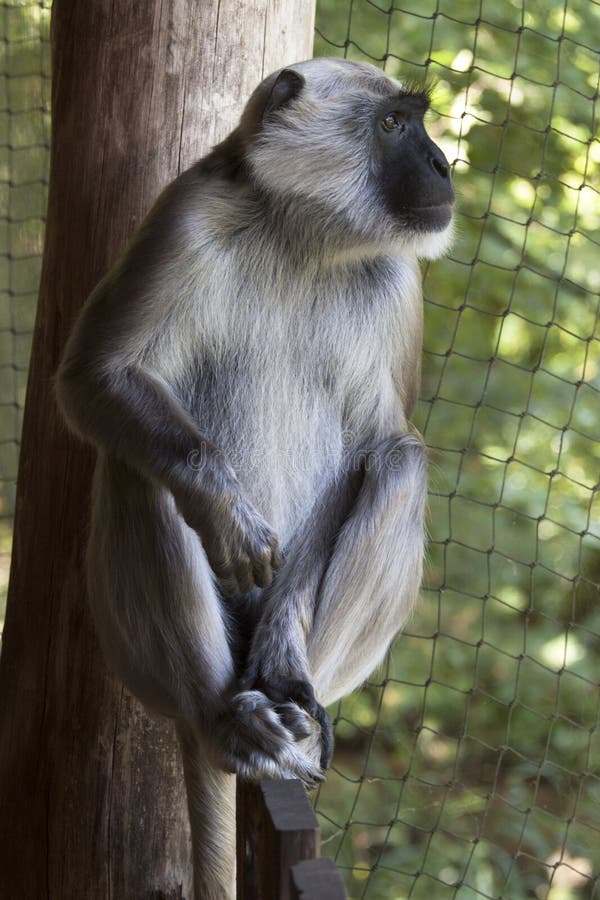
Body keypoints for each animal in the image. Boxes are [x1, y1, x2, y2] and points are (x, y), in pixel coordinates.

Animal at [56, 58, 454, 899]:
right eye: (394, 125)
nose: (442, 165)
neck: (306, 239)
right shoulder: (186, 214)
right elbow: (95, 378)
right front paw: (224, 508)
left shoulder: (398, 280)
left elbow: (373, 447)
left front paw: (287, 660)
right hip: (135, 652)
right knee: (144, 469)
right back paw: (222, 720)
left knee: (401, 462)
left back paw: (286, 702)